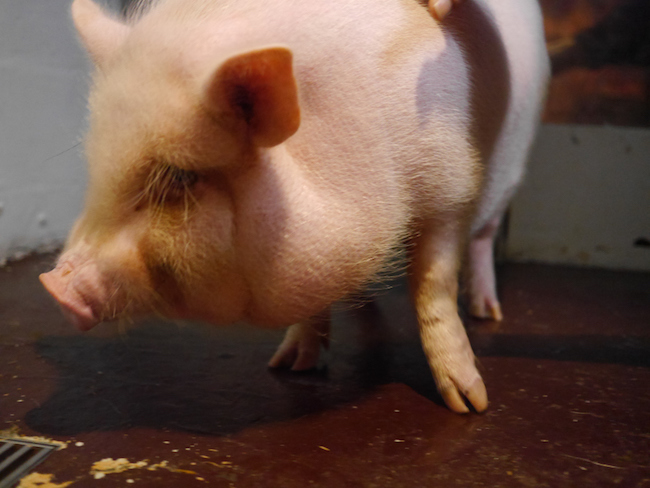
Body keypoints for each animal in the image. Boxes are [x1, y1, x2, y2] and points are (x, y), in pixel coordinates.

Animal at [40, 0, 549, 413]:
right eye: (97, 167)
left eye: (178, 178)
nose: (54, 286)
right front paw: (288, 367)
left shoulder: (450, 189)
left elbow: (433, 284)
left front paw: (469, 403)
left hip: (508, 174)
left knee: (484, 238)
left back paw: (487, 312)